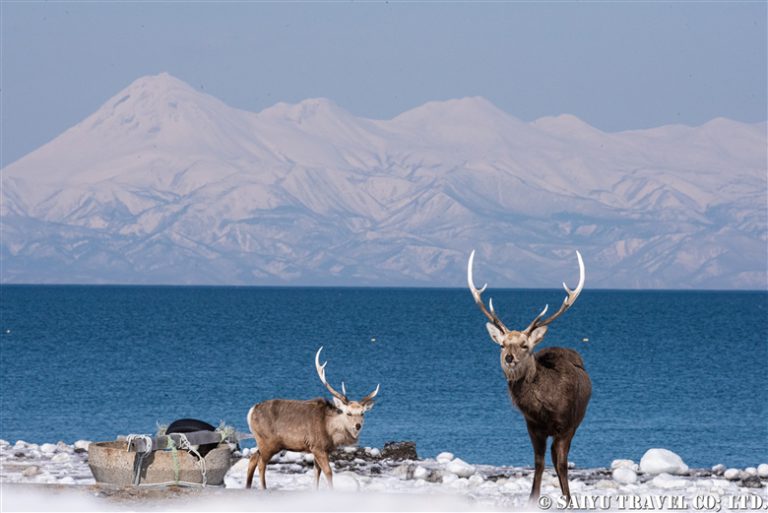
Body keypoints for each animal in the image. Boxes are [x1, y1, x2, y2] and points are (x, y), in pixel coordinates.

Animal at [245, 347, 379, 490]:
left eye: (362, 413)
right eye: (348, 413)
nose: (358, 425)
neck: (330, 431)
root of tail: (251, 411)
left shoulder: (321, 449)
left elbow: (317, 472)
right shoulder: (317, 446)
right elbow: (328, 472)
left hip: (262, 441)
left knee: (253, 458)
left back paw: (248, 486)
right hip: (268, 441)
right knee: (261, 462)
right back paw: (263, 487)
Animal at [467, 249, 591, 502]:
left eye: (525, 345)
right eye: (502, 344)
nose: (509, 358)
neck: (546, 409)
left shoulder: (566, 426)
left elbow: (561, 464)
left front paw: (568, 499)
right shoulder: (532, 426)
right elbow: (538, 463)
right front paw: (532, 498)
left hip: (577, 421)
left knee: (558, 459)